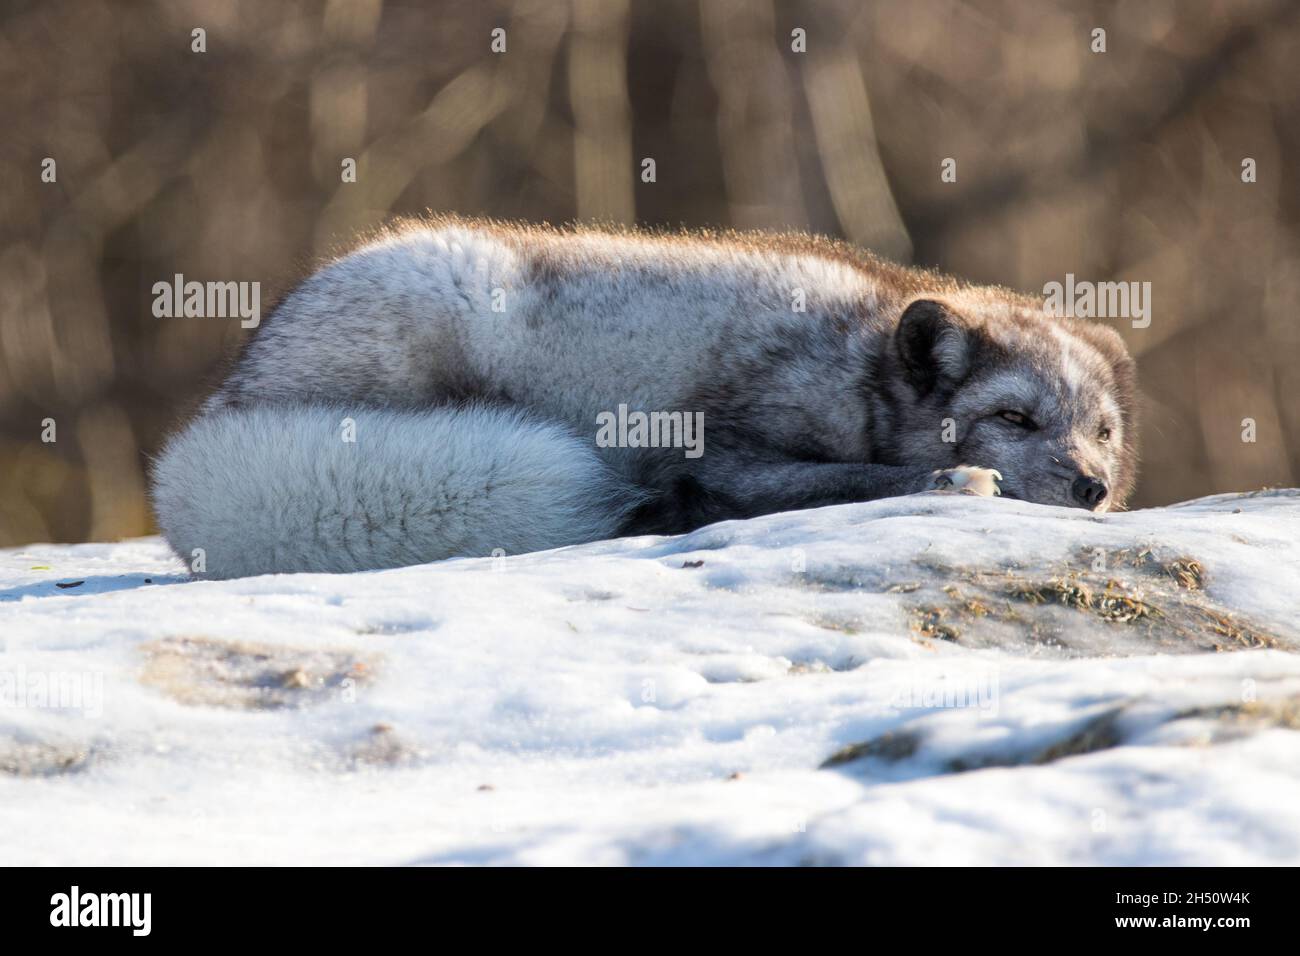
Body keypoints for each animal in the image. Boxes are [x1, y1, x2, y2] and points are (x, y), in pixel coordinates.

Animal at [150, 216, 1139, 579]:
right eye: (1013, 418)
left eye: (1101, 432)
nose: (1092, 487)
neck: (859, 359)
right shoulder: (726, 448)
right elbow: (844, 478)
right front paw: (952, 482)